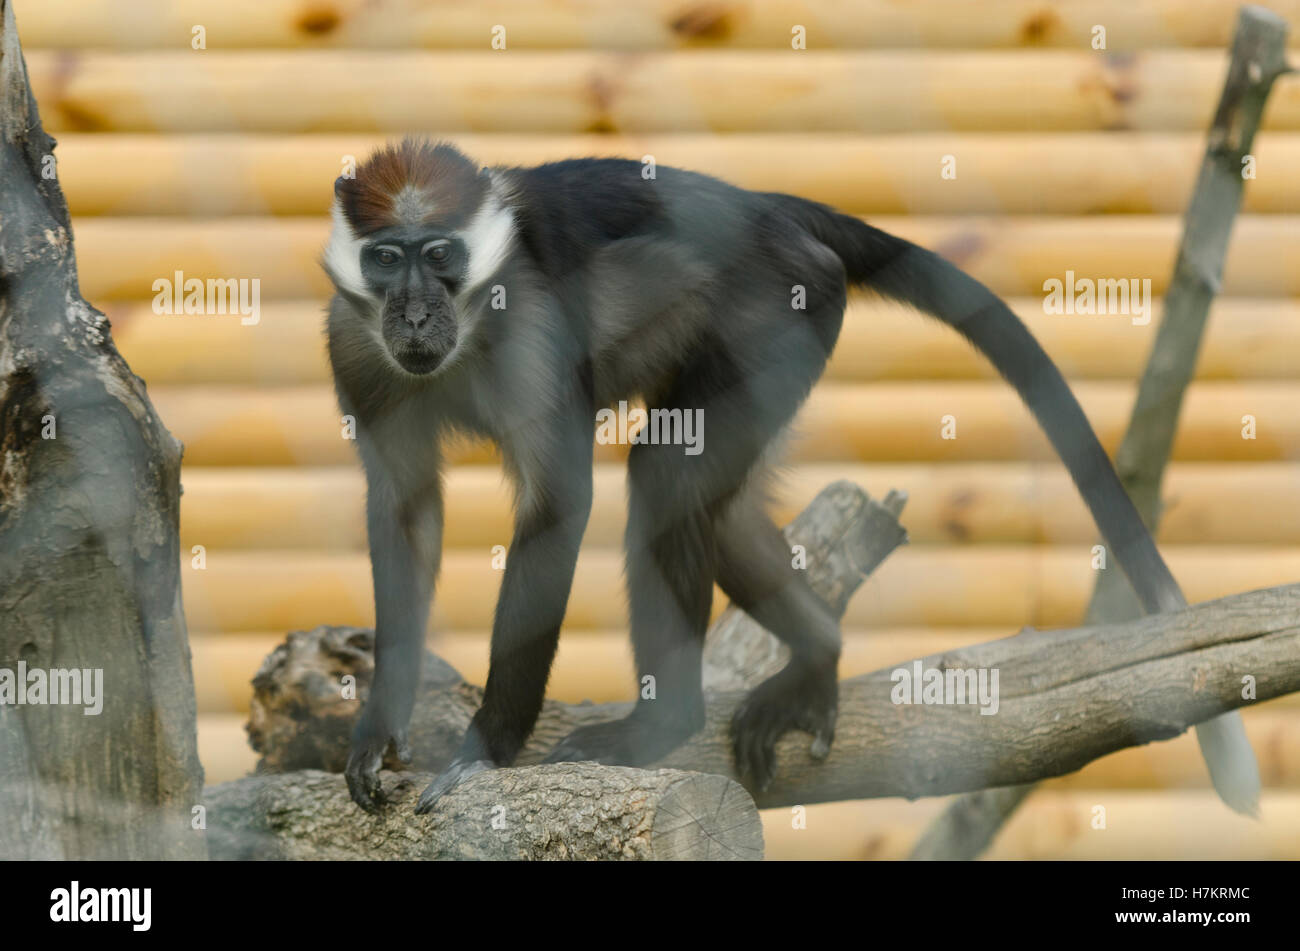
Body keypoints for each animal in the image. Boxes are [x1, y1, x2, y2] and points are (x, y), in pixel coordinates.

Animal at [322, 139, 1259, 816]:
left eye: (440, 254)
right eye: (387, 259)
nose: (415, 313)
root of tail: (763, 208)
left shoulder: (527, 322)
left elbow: (560, 509)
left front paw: (487, 748)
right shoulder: (354, 346)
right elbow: (403, 509)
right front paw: (377, 725)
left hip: (786, 302)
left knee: (665, 475)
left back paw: (665, 722)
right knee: (711, 496)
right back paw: (818, 649)